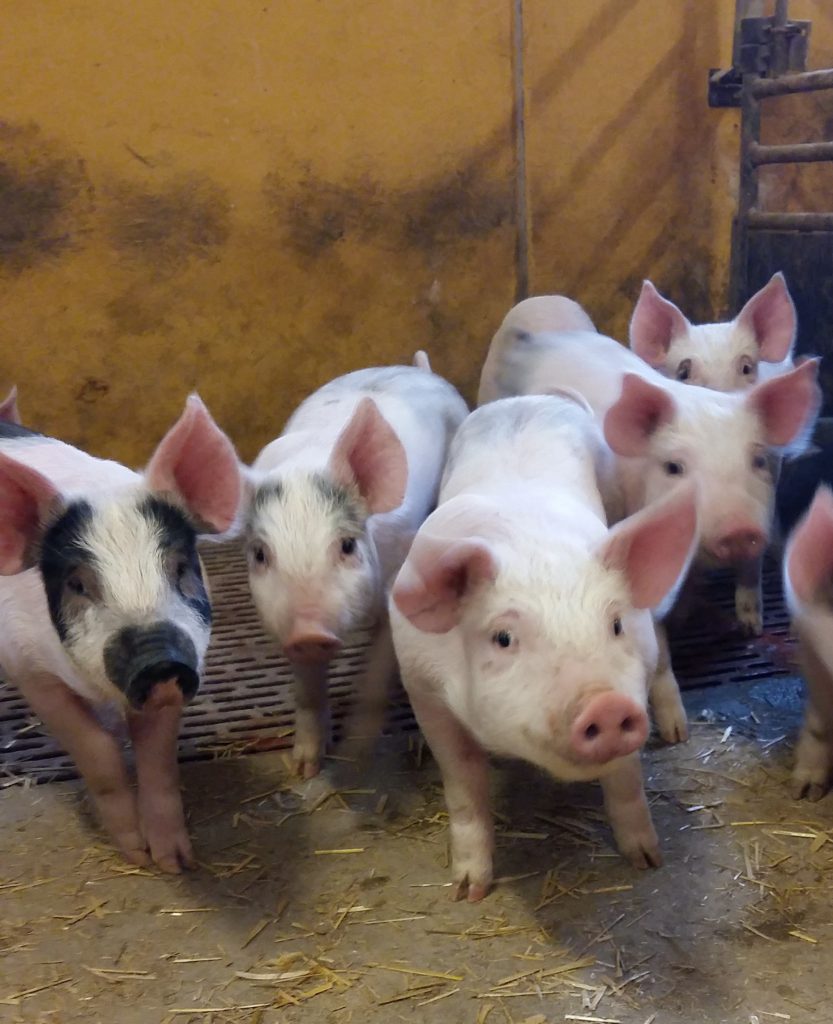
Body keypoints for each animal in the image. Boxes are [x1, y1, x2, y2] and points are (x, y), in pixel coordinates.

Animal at [0, 396, 241, 871]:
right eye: (77, 584)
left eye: (180, 566)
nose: (158, 658)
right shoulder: (28, 667)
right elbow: (95, 750)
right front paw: (135, 853)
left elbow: (157, 762)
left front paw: (173, 861)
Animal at [243, 364, 468, 778]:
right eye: (261, 554)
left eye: (347, 545)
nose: (310, 632)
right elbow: (307, 689)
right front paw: (304, 769)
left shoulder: (397, 582)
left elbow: (380, 668)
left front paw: (359, 752)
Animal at [389, 395, 698, 900]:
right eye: (503, 638)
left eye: (615, 624)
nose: (605, 704)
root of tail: (529, 398)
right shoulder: (422, 689)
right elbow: (464, 784)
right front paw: (469, 891)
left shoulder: (631, 680)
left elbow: (626, 779)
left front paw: (647, 860)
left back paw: (676, 734)